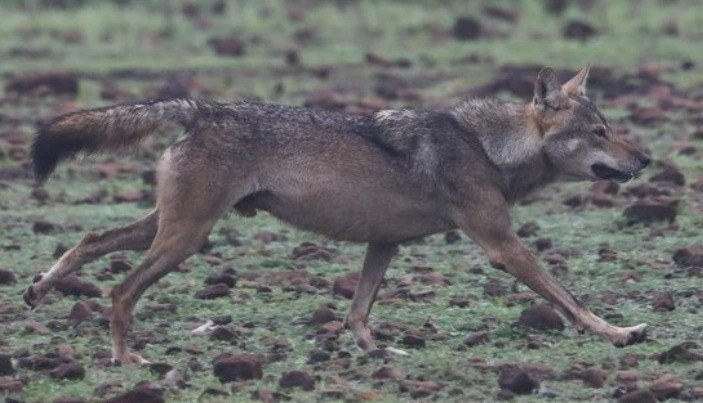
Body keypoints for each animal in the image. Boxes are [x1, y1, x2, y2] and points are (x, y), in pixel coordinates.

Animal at [24, 65, 651, 364]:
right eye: (601, 132)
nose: (645, 159)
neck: (487, 147)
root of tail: (201, 107)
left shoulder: (385, 243)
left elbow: (358, 314)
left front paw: (378, 355)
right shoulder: (502, 246)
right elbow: (569, 298)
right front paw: (620, 332)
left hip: (169, 228)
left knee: (90, 237)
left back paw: (38, 289)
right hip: (186, 237)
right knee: (121, 289)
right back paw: (125, 358)